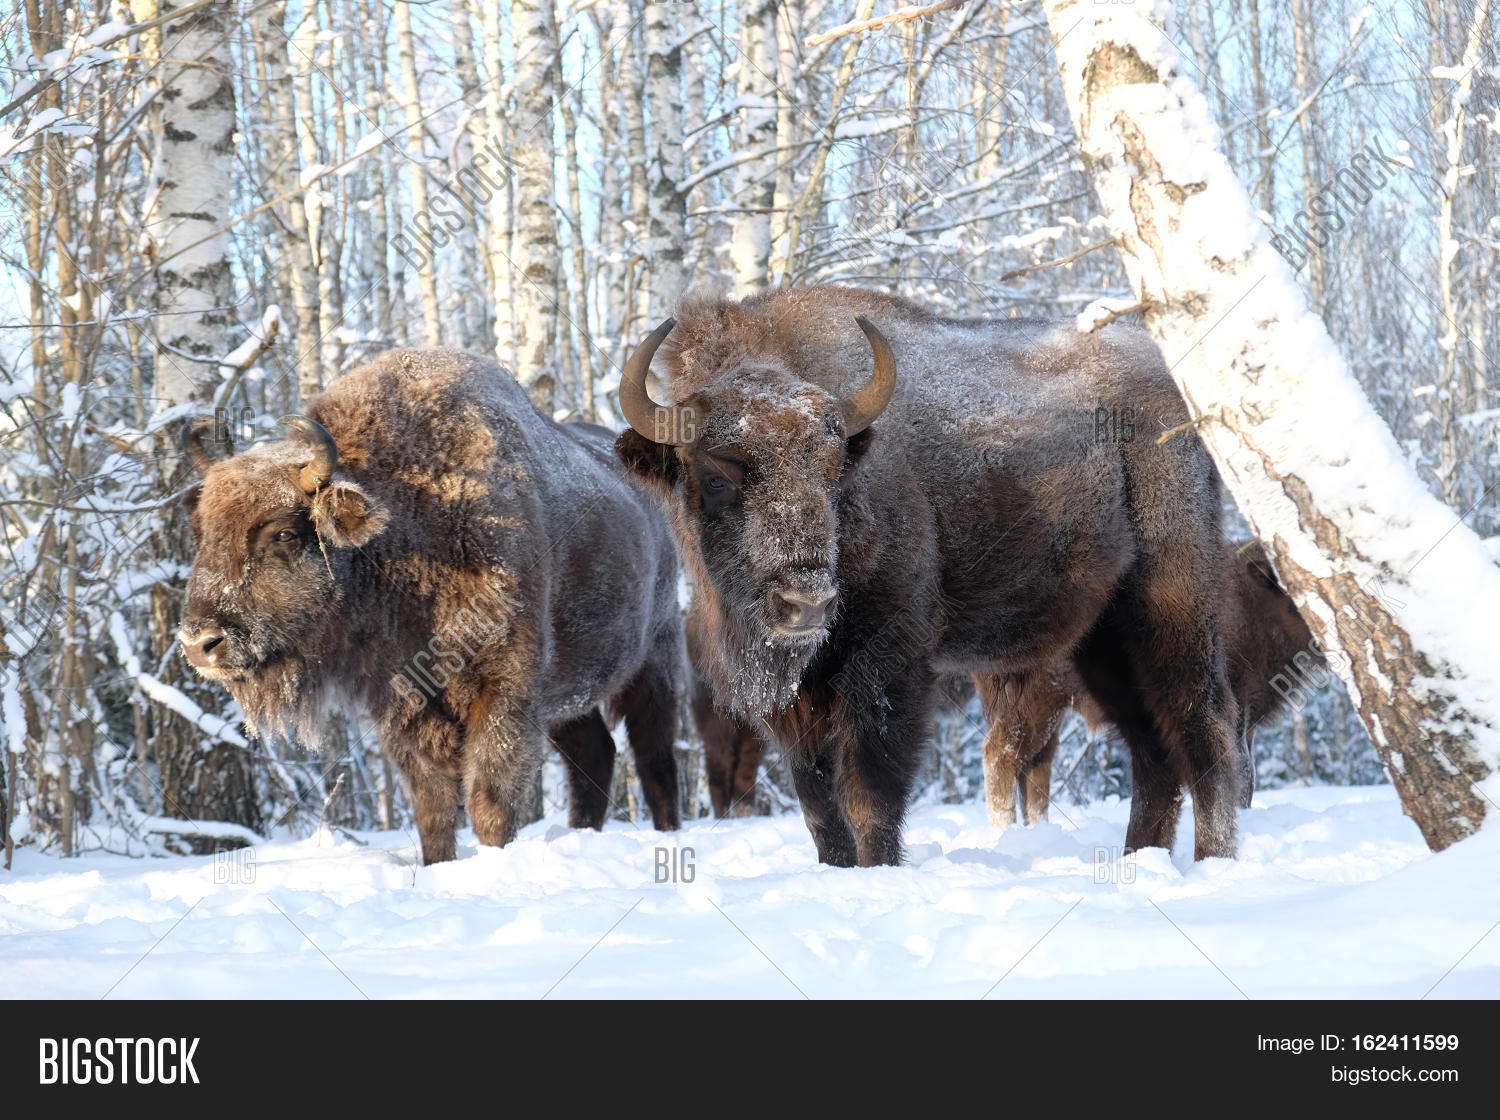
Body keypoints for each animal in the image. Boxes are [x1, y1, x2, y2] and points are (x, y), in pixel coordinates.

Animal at [179, 348, 684, 864]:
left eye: (282, 533)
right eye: (200, 532)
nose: (200, 643)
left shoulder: (505, 691)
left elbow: (489, 802)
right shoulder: (402, 707)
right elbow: (433, 809)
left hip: (656, 659)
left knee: (655, 758)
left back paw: (670, 835)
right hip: (571, 698)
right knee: (595, 754)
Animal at [616, 286, 1240, 866]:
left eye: (833, 468)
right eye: (716, 474)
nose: (806, 602)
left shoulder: (889, 669)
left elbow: (868, 797)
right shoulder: (798, 708)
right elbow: (820, 812)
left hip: (1169, 609)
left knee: (1201, 727)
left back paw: (1211, 859)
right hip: (1099, 641)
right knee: (1151, 746)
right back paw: (1141, 857)